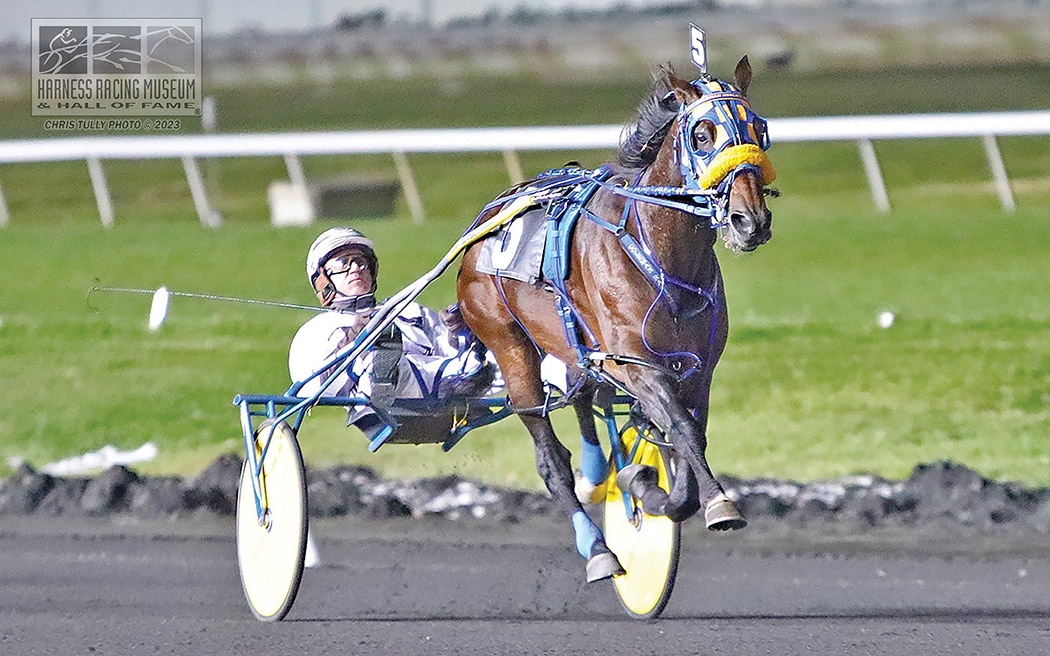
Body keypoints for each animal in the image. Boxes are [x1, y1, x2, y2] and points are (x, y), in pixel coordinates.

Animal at [456, 57, 776, 581]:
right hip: (510, 347)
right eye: (702, 134)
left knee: (585, 397)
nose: (749, 220)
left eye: (760, 128)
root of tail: (488, 219)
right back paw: (598, 549)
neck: (663, 256)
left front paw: (645, 483)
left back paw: (596, 475)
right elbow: (681, 431)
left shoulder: (696, 370)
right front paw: (711, 502)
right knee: (550, 458)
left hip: (576, 349)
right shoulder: (633, 362)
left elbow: (685, 437)